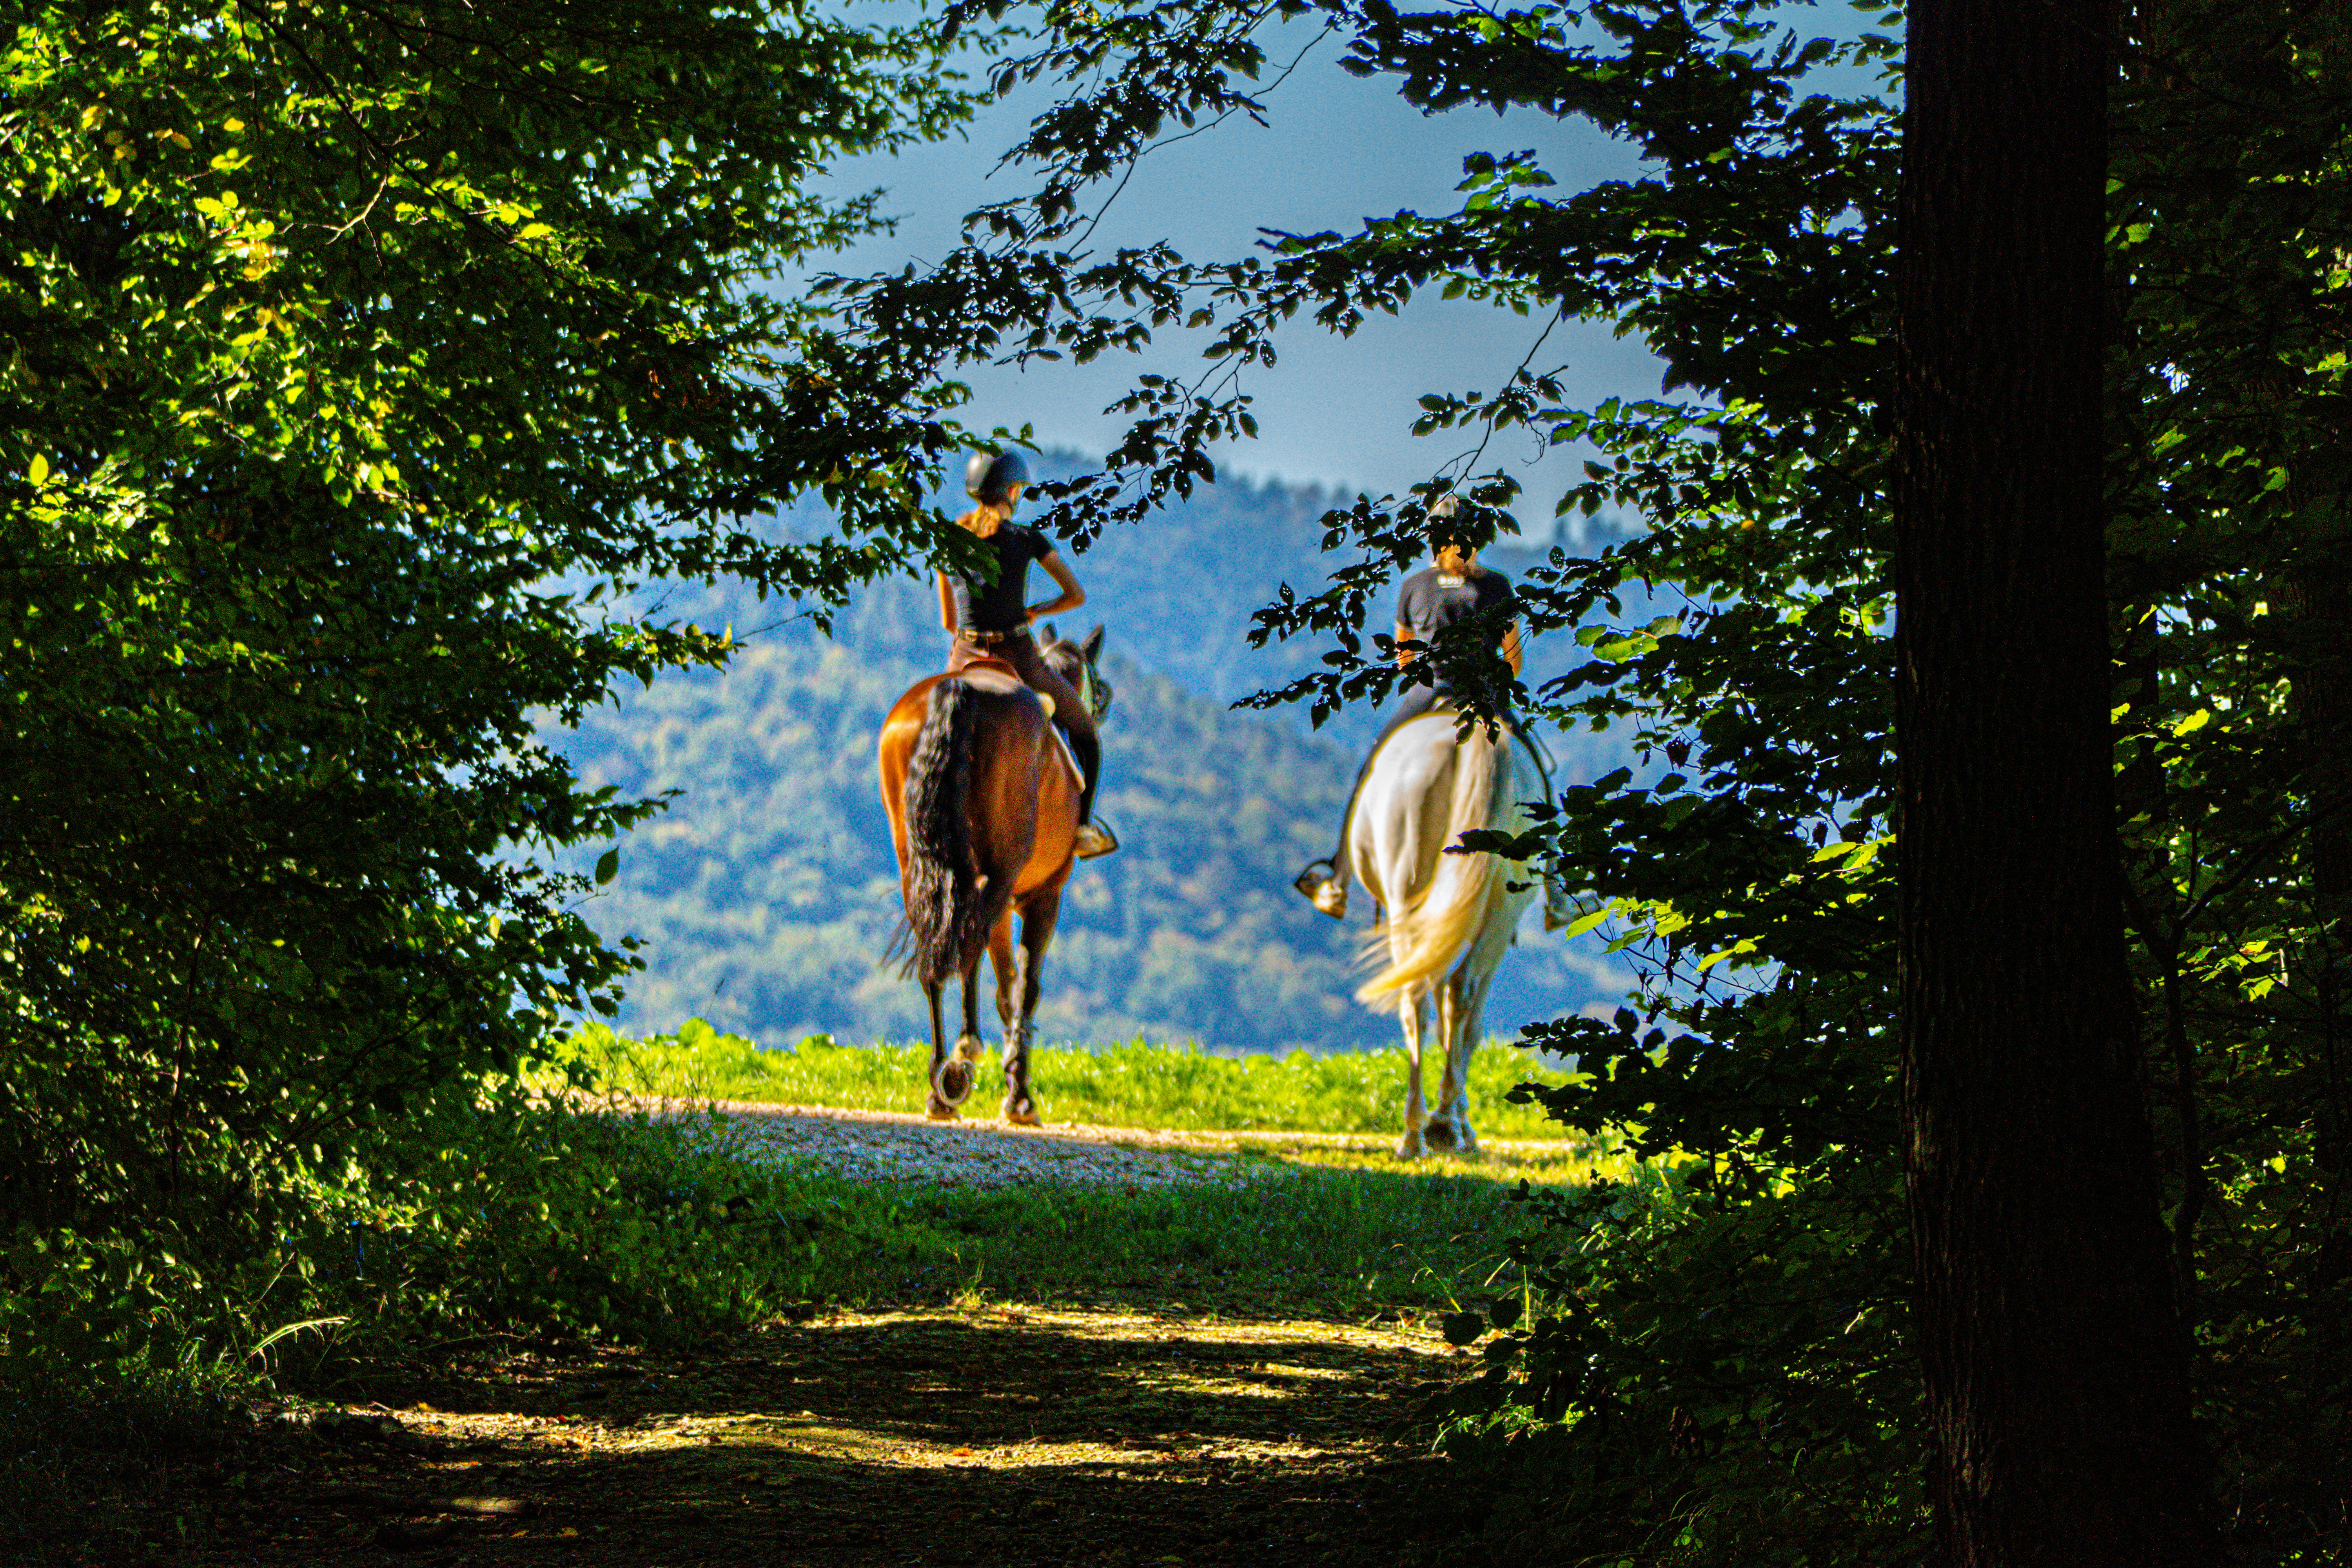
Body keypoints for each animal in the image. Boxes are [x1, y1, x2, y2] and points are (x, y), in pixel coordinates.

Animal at [877, 624, 1112, 1124]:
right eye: (1098, 689)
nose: (1098, 709)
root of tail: (962, 688)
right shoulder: (1043, 895)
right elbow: (1024, 988)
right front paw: (1020, 1095)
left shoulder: (1004, 902)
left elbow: (1005, 986)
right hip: (1003, 870)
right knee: (969, 942)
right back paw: (963, 1057)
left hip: (919, 863)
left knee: (938, 945)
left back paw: (941, 1082)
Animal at [1348, 707, 1548, 1158]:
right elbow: (1459, 1024)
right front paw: (1453, 1117)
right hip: (1499, 909)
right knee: (1455, 995)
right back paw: (1439, 1127)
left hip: (1417, 900)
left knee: (1423, 999)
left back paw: (1421, 1131)